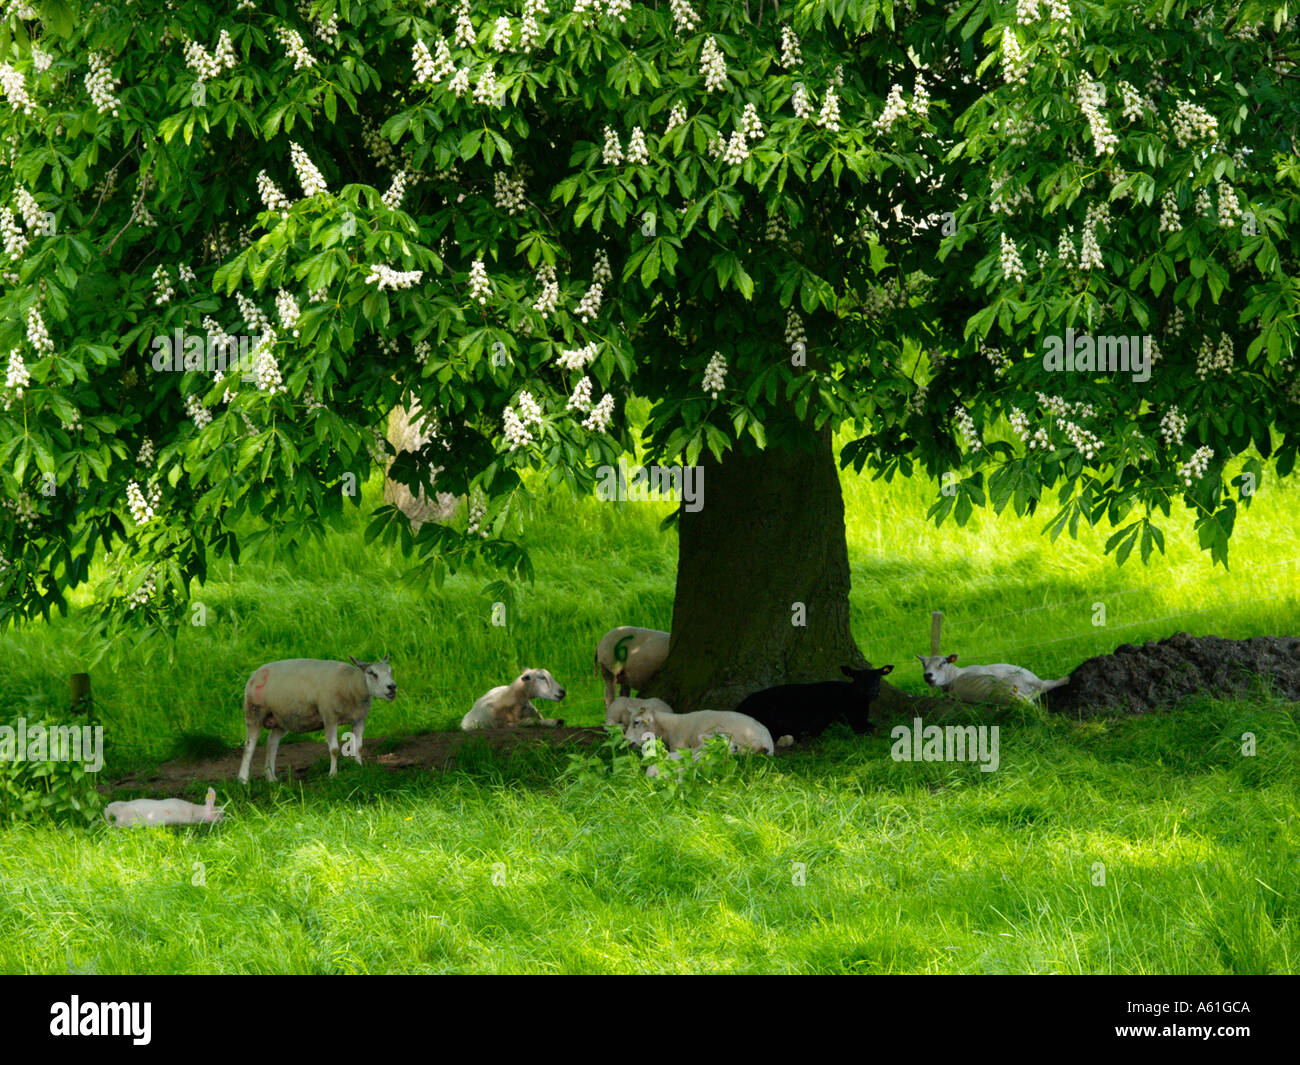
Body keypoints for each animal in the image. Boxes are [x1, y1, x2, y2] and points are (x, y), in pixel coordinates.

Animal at [237, 655, 396, 784]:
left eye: (390, 671)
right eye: (372, 673)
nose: (392, 687)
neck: (352, 685)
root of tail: (255, 673)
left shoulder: (359, 719)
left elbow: (359, 747)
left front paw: (359, 768)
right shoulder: (329, 717)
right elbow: (334, 749)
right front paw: (333, 775)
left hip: (280, 718)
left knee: (272, 743)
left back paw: (271, 777)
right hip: (254, 712)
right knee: (249, 746)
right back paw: (243, 779)